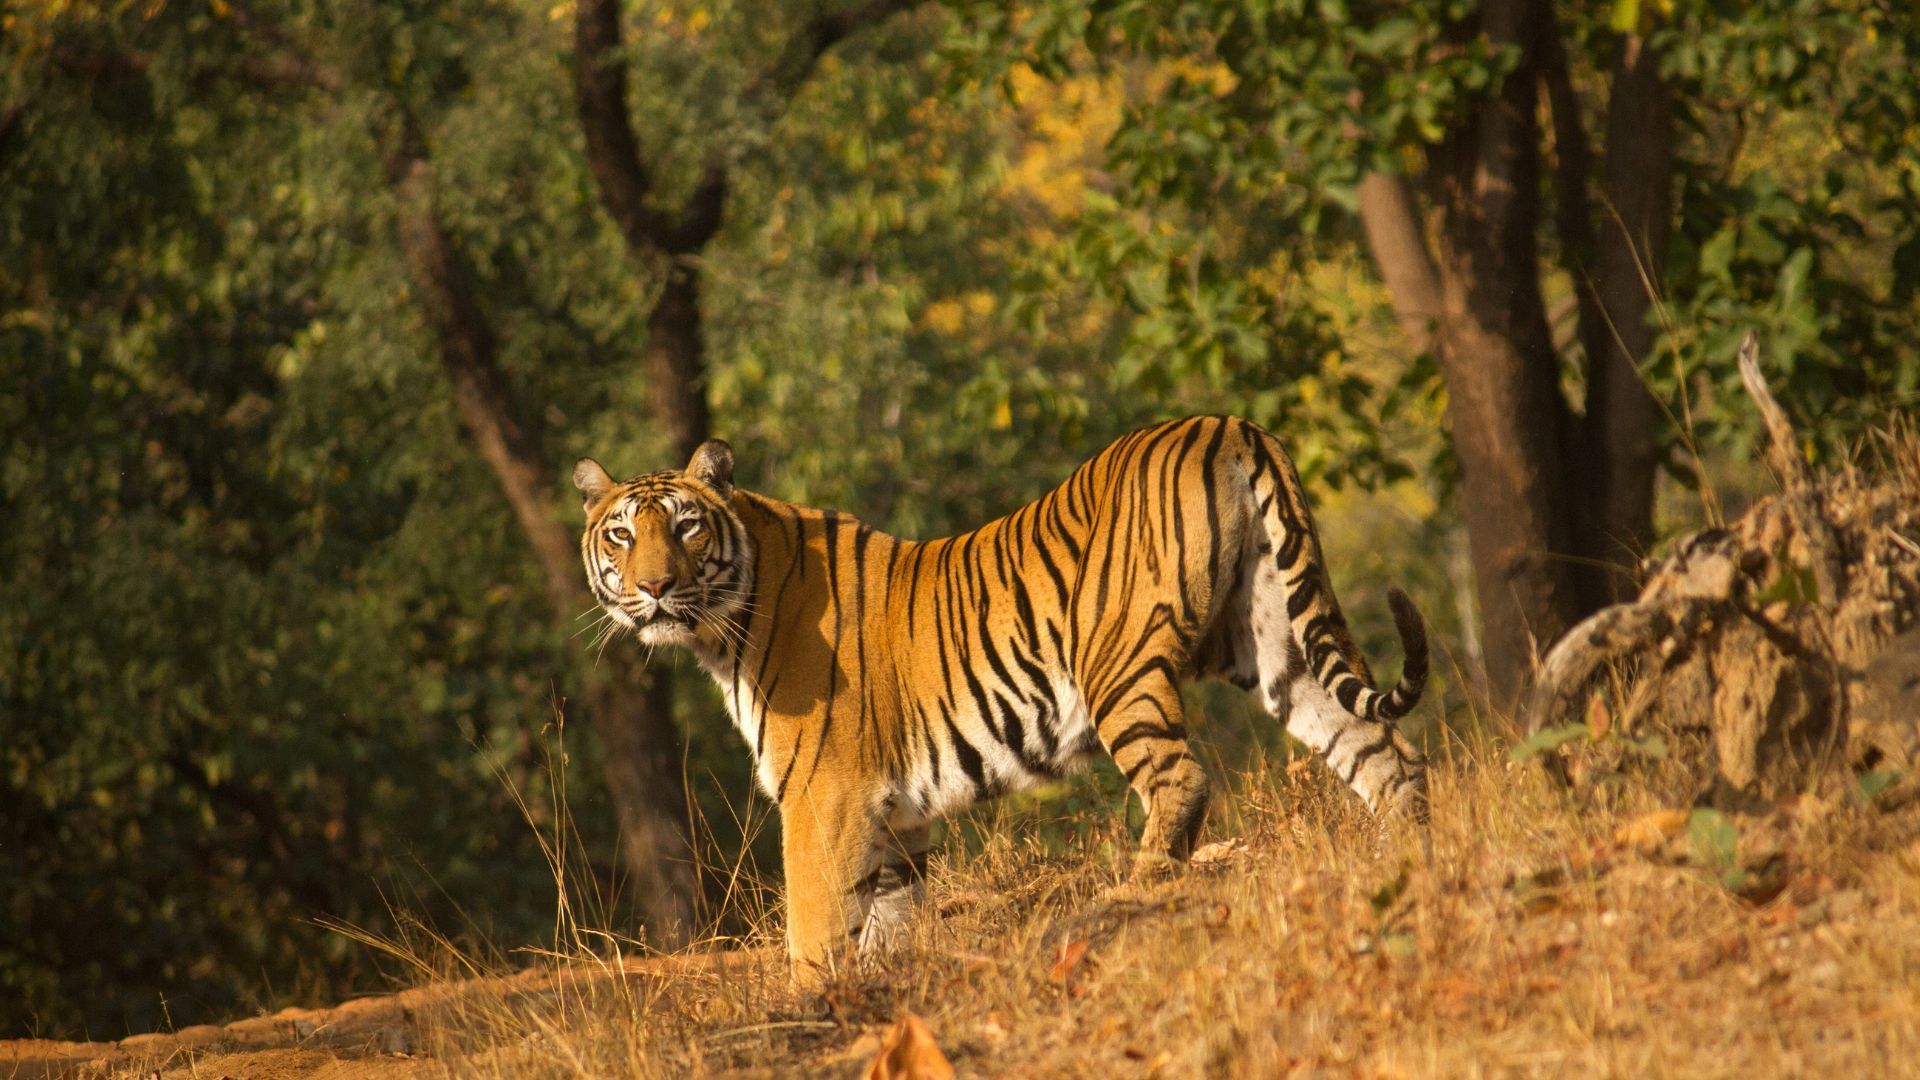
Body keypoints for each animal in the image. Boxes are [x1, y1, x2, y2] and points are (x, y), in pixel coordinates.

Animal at [574, 415, 1429, 982]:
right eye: (622, 535)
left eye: (686, 526)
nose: (655, 586)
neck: (726, 631)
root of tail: (1224, 422)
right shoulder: (893, 816)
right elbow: (888, 922)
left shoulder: (823, 798)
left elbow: (814, 927)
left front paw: (809, 999)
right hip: (1282, 639)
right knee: (1386, 751)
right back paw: (1407, 855)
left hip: (1117, 663)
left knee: (1182, 780)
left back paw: (1134, 892)